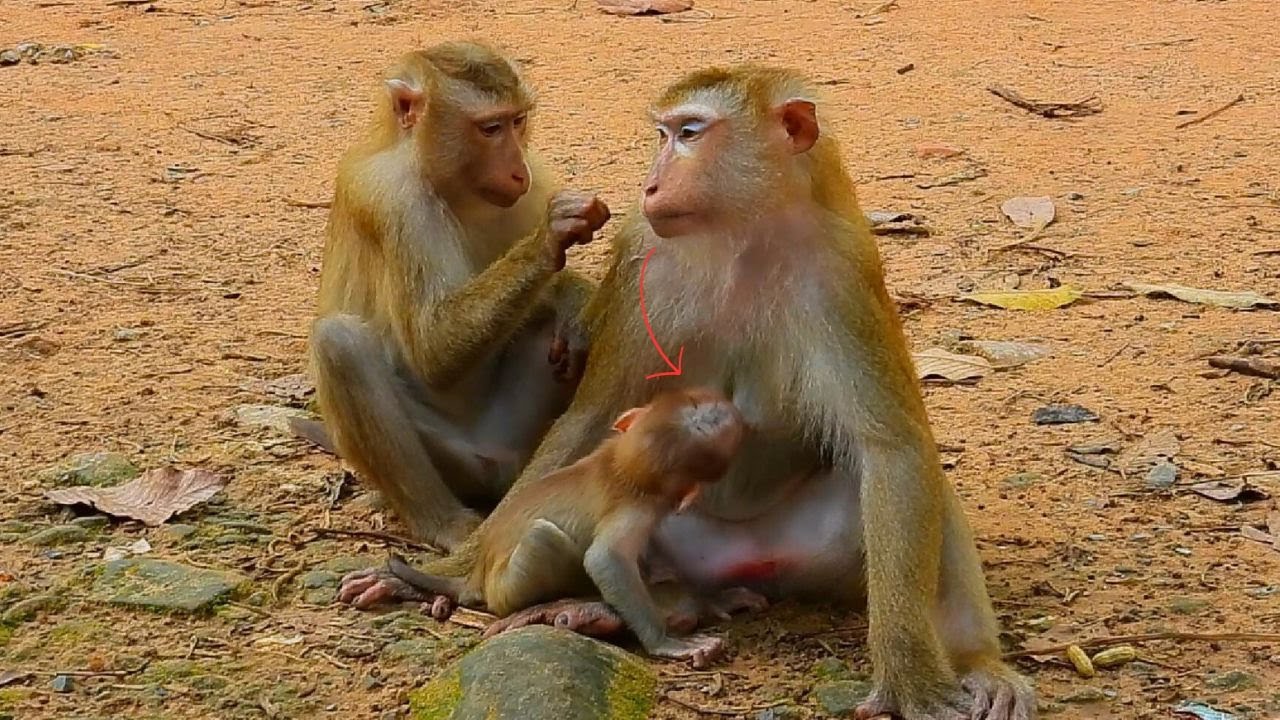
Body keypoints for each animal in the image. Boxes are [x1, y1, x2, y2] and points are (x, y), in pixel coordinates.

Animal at [309, 41, 610, 552]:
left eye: (517, 121)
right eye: (489, 129)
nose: (517, 170)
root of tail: (492, 460)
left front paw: (574, 297)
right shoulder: (395, 201)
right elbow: (433, 350)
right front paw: (551, 236)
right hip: (452, 460)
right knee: (339, 343)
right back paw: (442, 522)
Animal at [349, 388, 747, 667]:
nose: (730, 407)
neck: (623, 462)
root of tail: (477, 578)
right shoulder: (638, 510)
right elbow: (605, 559)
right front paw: (666, 642)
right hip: (510, 585)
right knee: (544, 537)